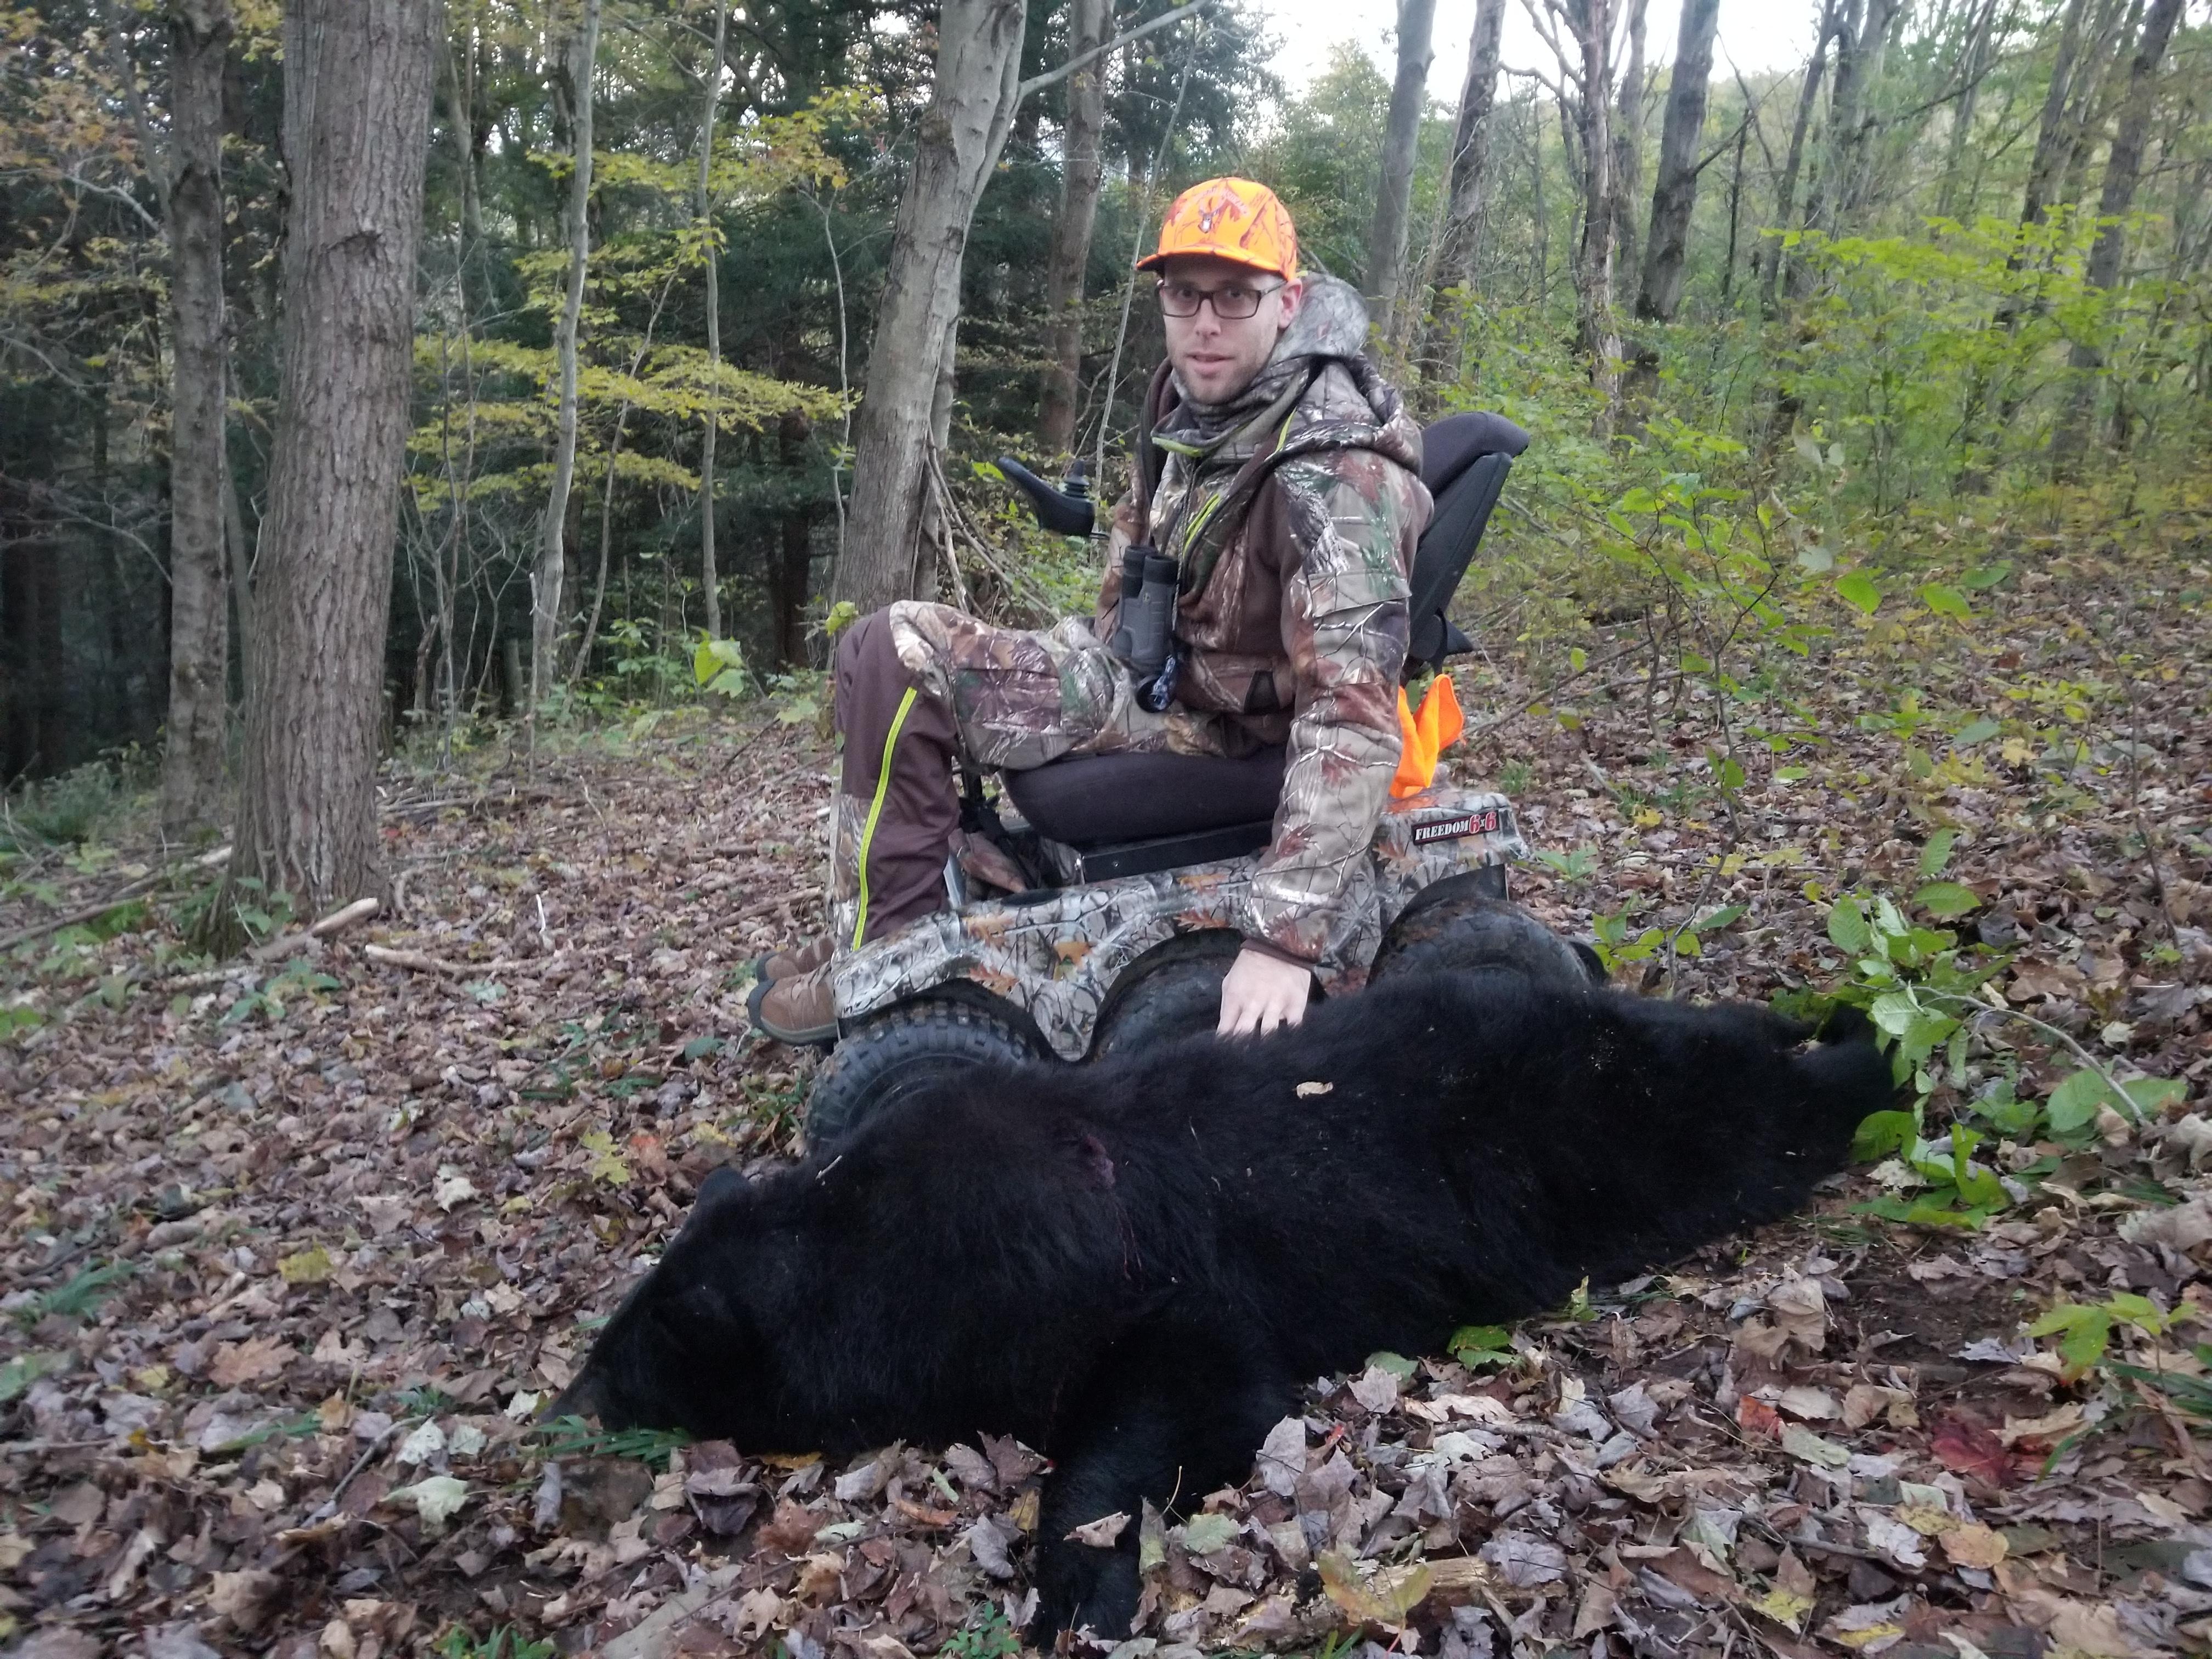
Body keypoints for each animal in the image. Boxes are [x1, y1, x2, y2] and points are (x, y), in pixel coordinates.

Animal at [555, 971, 1891, 1643]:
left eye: (632, 1355)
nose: (562, 1404)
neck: (888, 1254)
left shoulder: (1132, 1284)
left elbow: (1174, 1399)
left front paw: (1078, 1587)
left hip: (1608, 1130)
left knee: (1758, 1112)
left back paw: (1867, 1045)